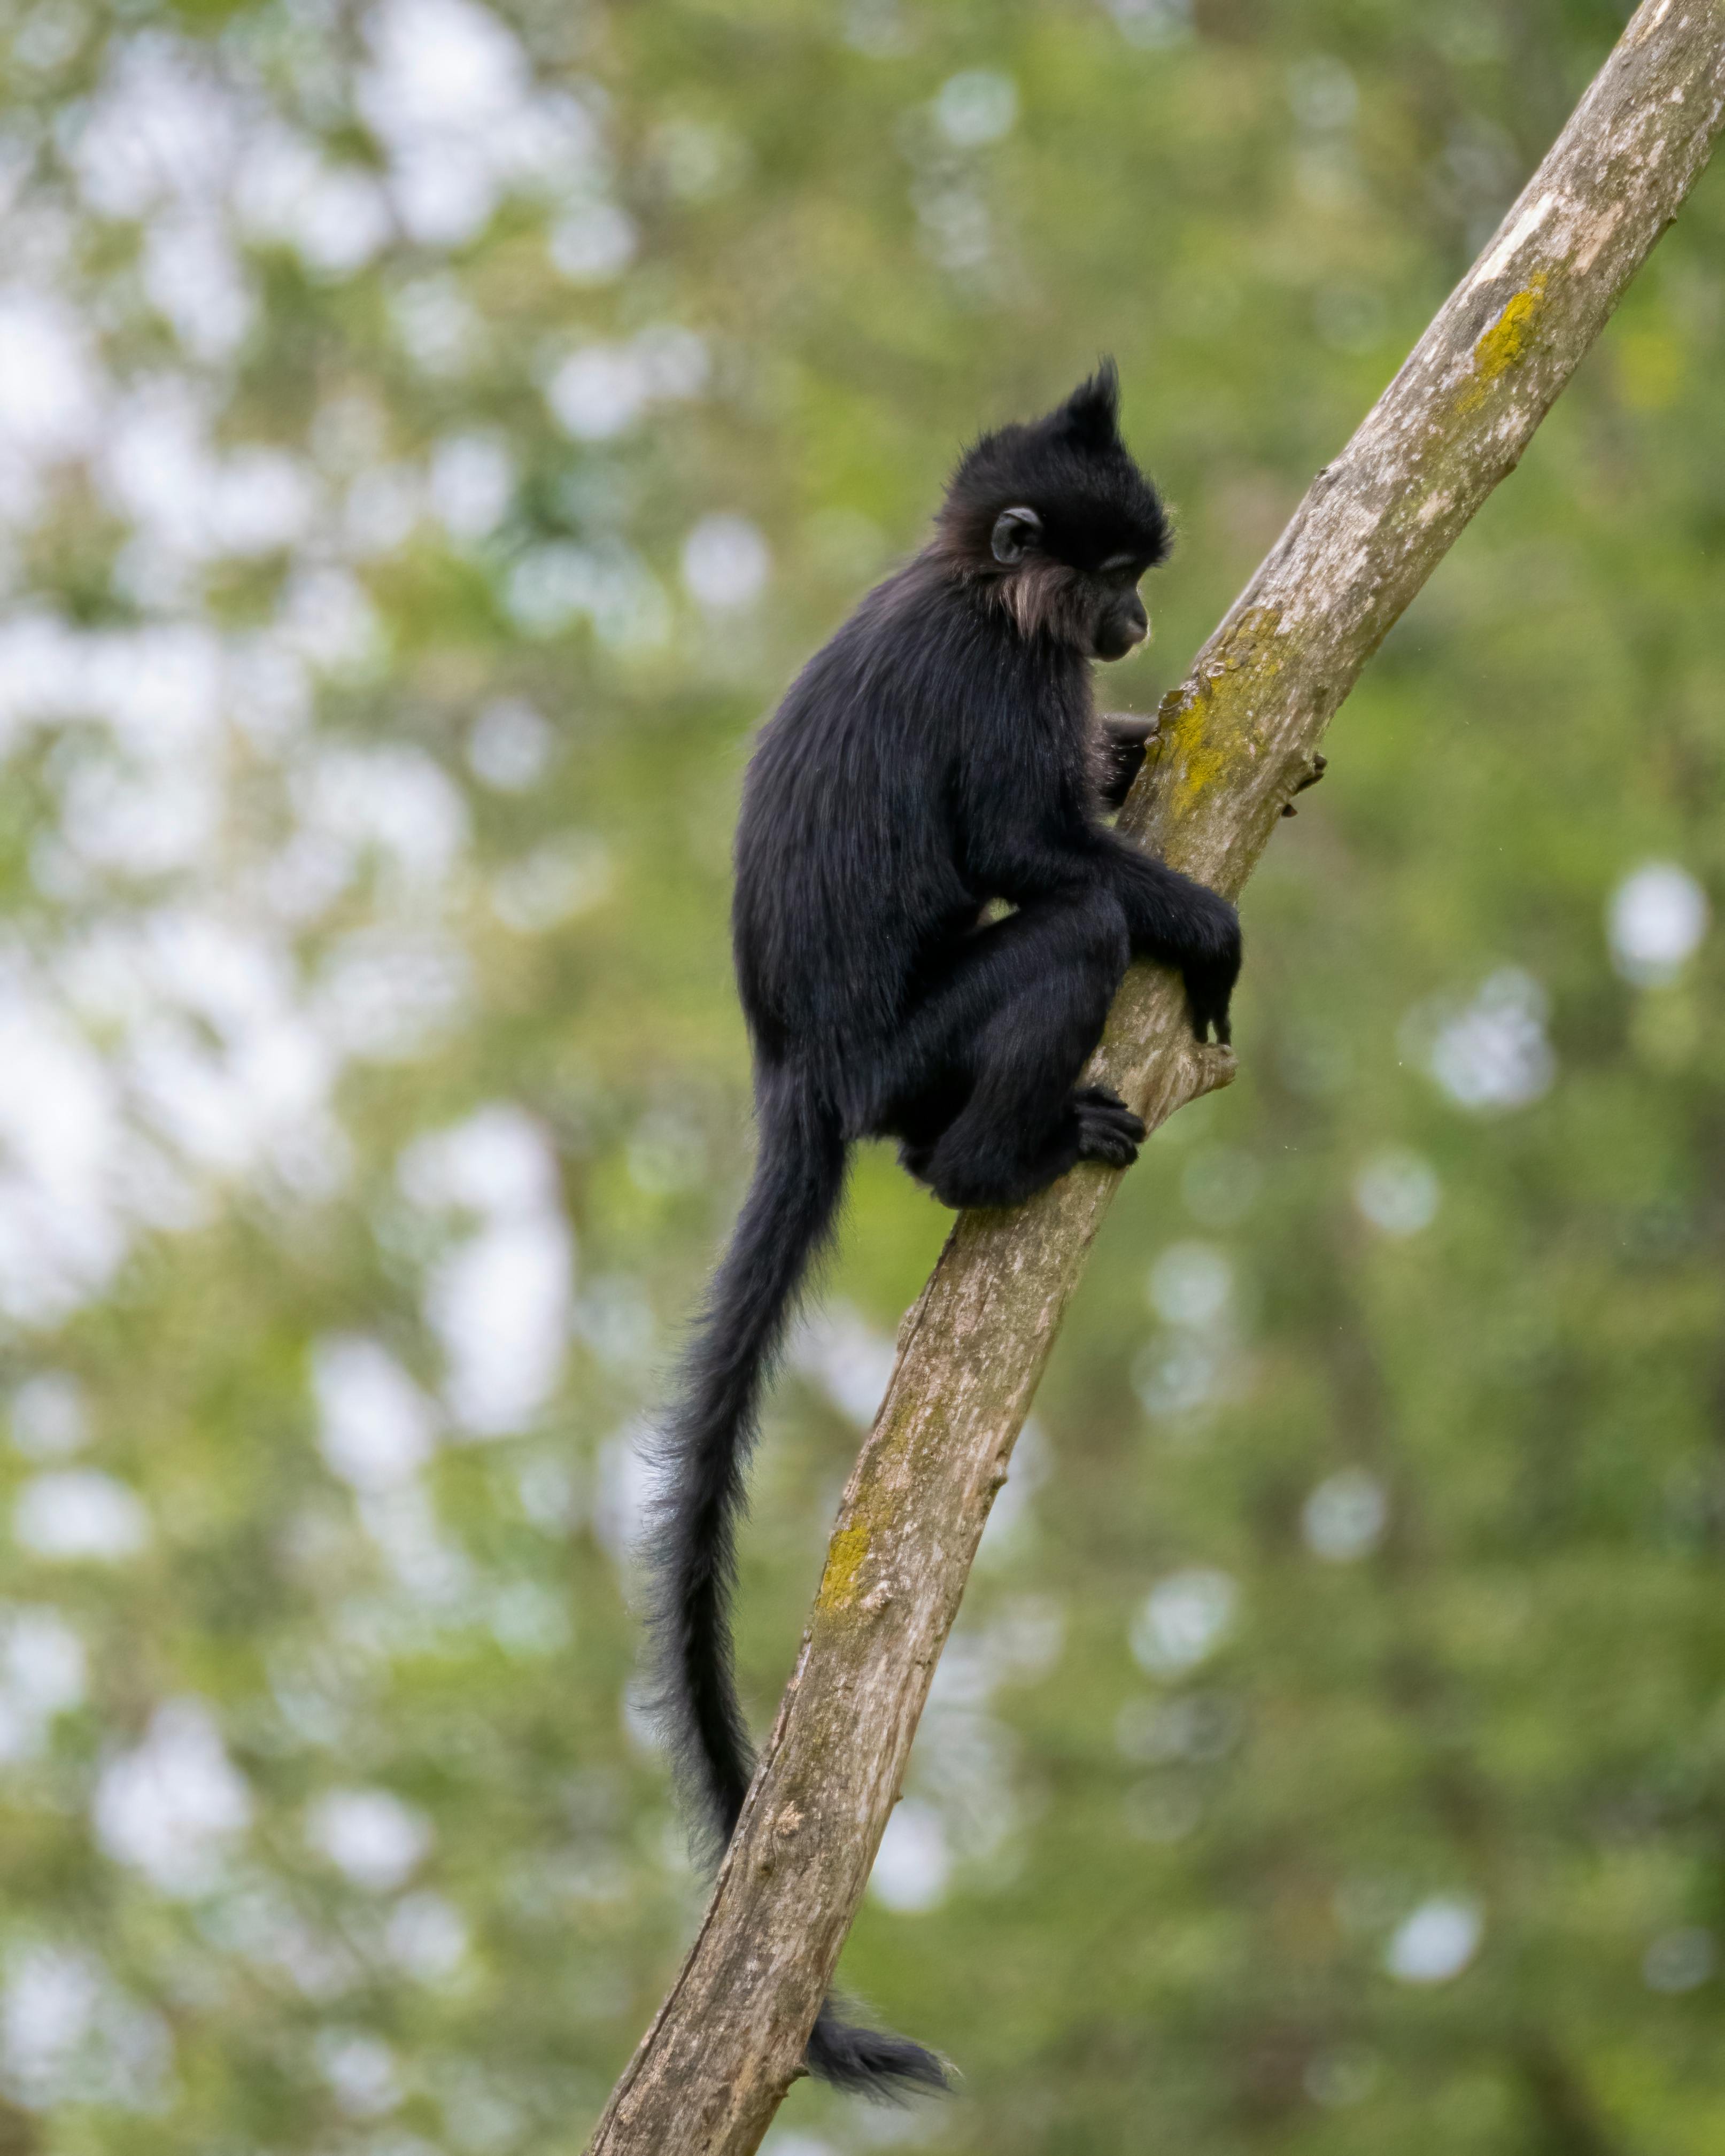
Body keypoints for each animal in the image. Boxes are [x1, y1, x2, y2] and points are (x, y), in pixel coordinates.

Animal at [646, 362, 1240, 2098]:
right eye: (1110, 576)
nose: (1132, 621)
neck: (982, 584)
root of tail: (801, 1071)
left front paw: (1132, 744)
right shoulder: (1002, 673)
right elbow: (1025, 855)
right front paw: (1206, 923)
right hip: (920, 1042)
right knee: (1071, 926)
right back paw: (988, 1162)